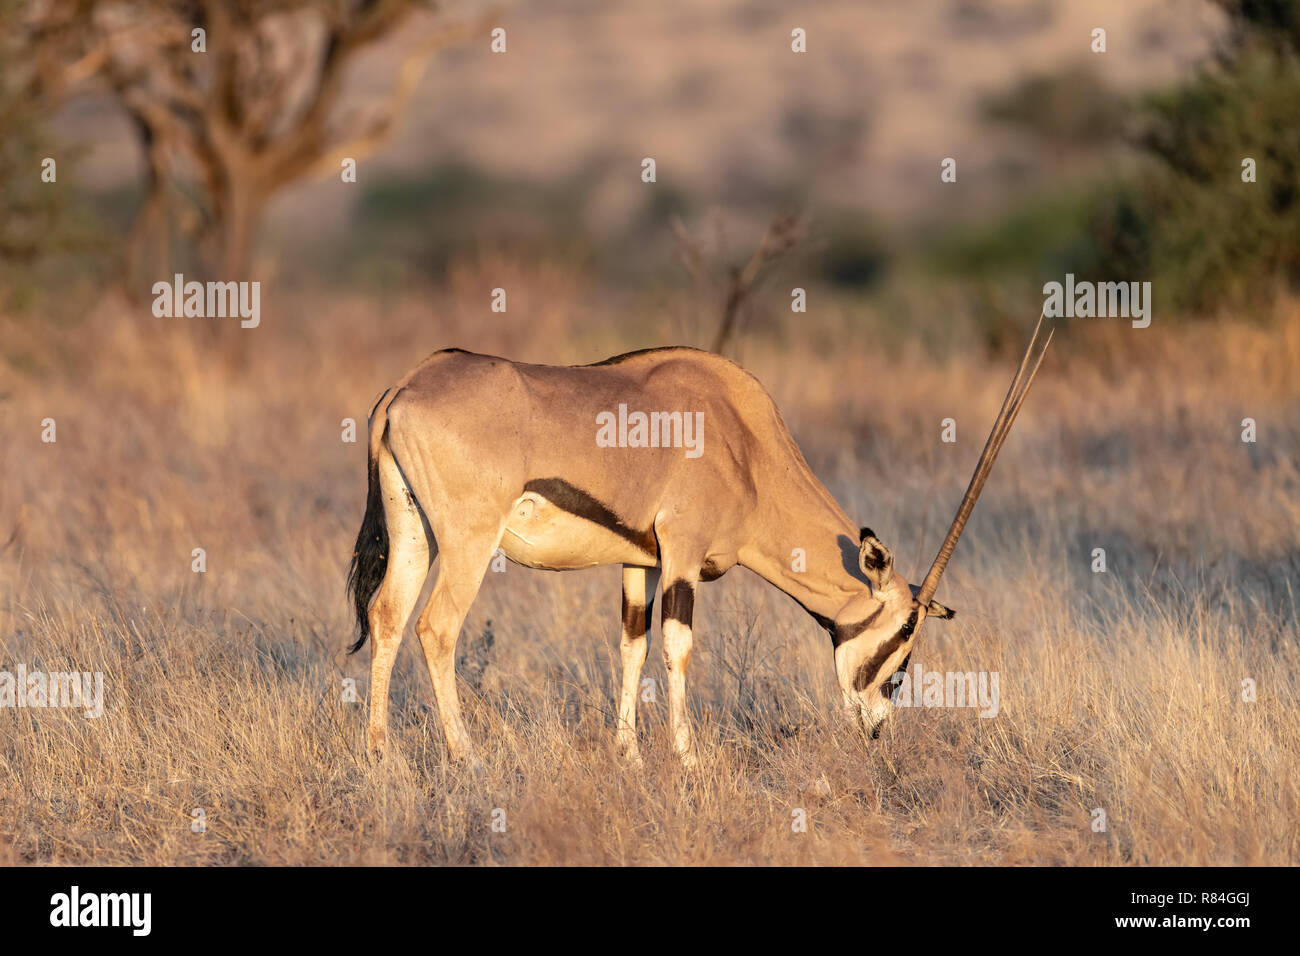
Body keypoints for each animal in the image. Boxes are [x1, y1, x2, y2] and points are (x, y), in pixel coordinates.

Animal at [348, 316, 1052, 765]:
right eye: (904, 638)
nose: (877, 730)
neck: (747, 445)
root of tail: (405, 388)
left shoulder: (639, 562)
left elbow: (631, 648)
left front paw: (629, 757)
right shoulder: (683, 554)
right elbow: (677, 649)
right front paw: (686, 761)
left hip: (414, 534)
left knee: (387, 617)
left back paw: (380, 757)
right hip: (468, 542)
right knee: (436, 627)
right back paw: (465, 757)